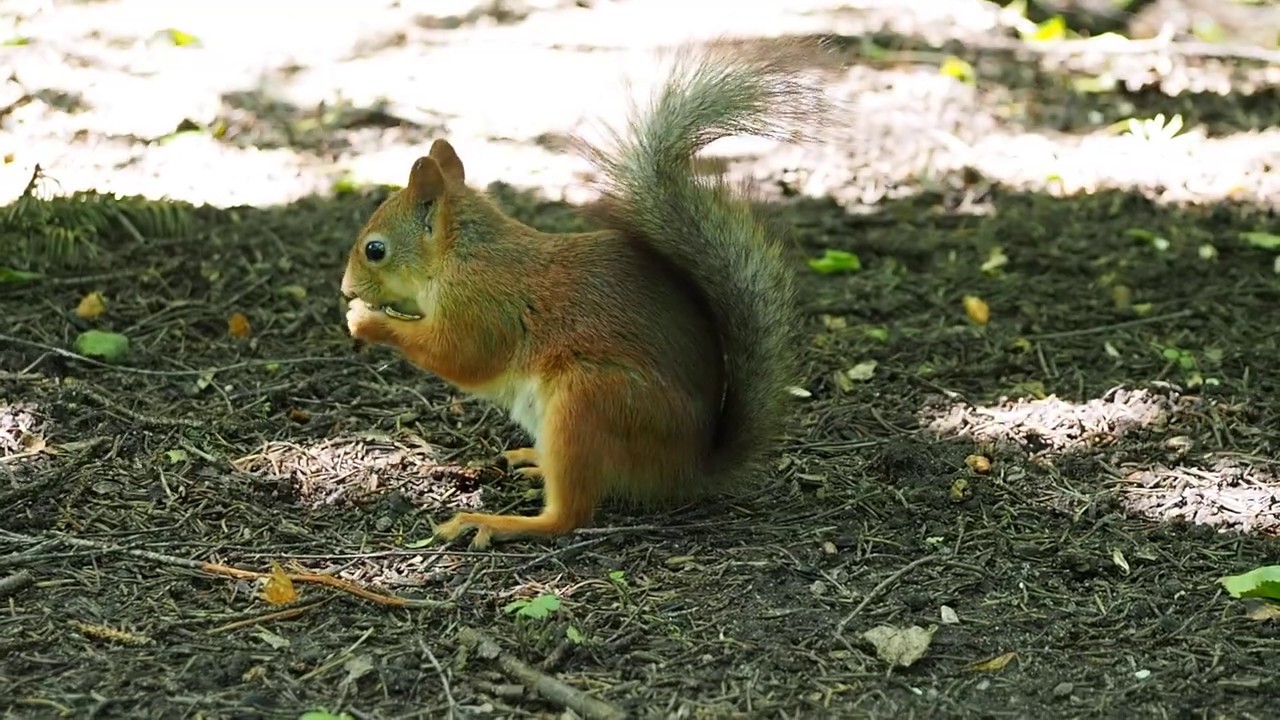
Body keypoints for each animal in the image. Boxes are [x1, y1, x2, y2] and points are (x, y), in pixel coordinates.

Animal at [340, 39, 831, 549]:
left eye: (375, 250)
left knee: (568, 517)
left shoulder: (482, 307)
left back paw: (496, 522)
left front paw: (366, 319)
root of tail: (687, 470)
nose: (345, 288)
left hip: (589, 401)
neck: (461, 254)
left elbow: (459, 356)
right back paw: (533, 462)